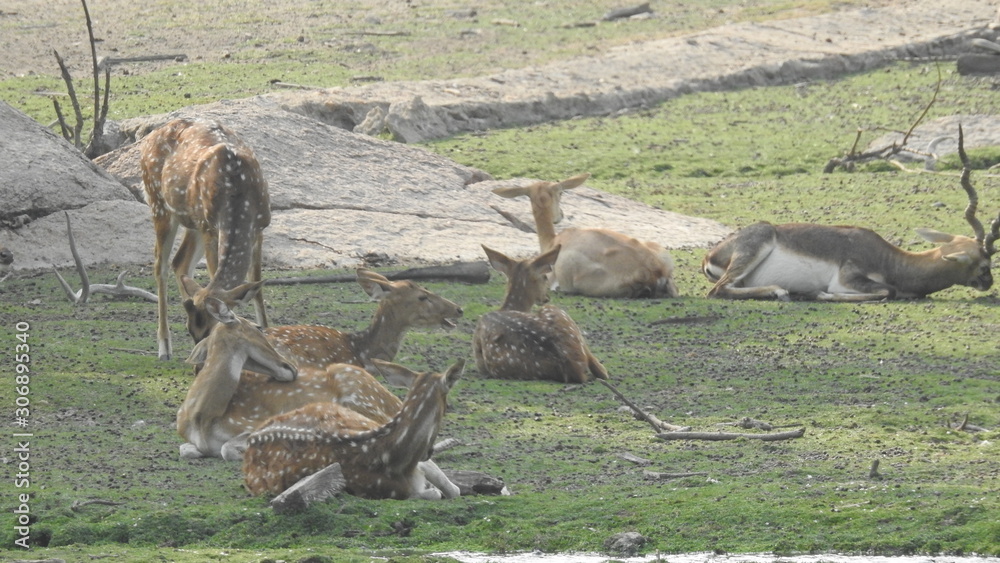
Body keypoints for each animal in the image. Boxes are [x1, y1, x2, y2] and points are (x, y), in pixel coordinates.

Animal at [140, 118, 271, 361]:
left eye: (211, 327)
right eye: (192, 331)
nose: (201, 350)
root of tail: (149, 136)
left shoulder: (260, 226)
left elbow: (257, 288)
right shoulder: (211, 228)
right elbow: (214, 272)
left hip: (193, 221)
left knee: (179, 262)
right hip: (159, 203)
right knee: (159, 265)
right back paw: (164, 347)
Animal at [473, 244, 608, 384]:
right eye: (545, 277)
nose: (546, 297)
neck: (506, 308)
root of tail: (575, 369)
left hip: (556, 311)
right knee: (602, 371)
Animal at [702, 129, 998, 301]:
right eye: (985, 264)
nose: (988, 284)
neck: (894, 262)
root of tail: (709, 256)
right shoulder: (848, 279)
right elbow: (885, 291)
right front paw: (818, 294)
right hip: (754, 249)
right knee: (718, 290)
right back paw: (780, 290)